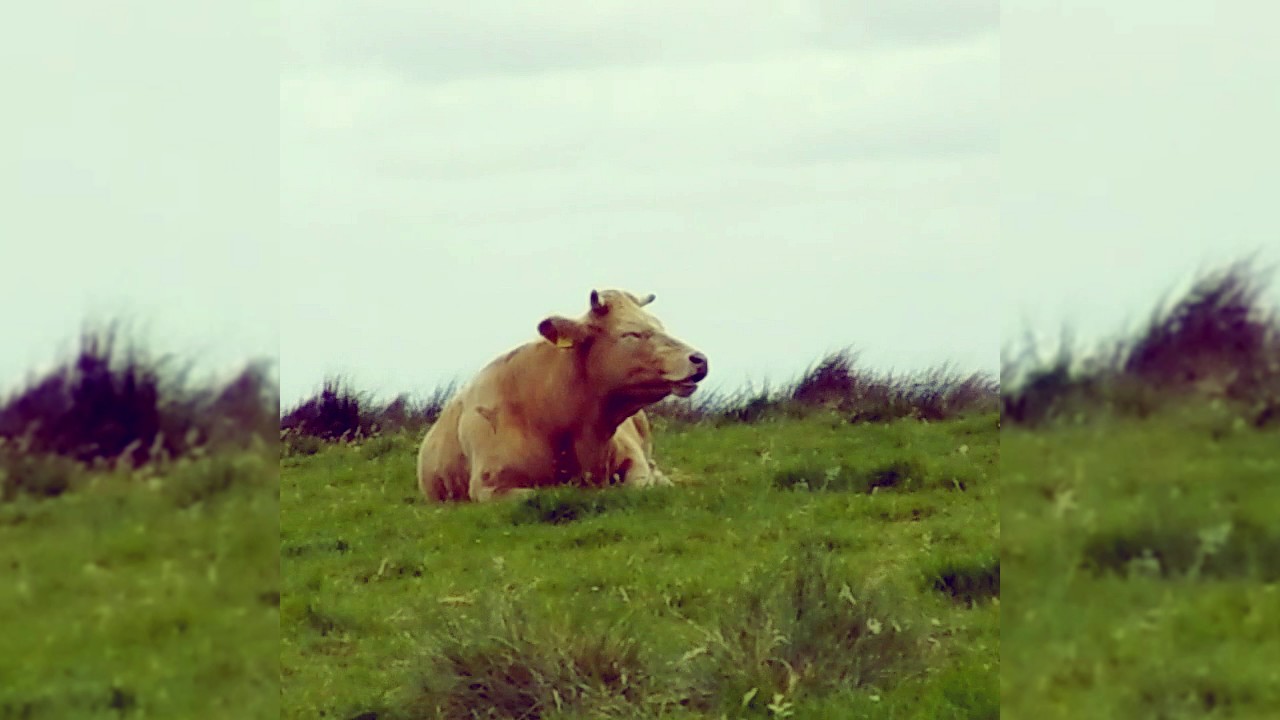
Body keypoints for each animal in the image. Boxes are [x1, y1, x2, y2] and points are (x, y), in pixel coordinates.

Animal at [417, 289, 708, 502]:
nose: (700, 360)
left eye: (660, 326)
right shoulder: (489, 487)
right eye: (631, 333)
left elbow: (641, 482)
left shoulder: (634, 460)